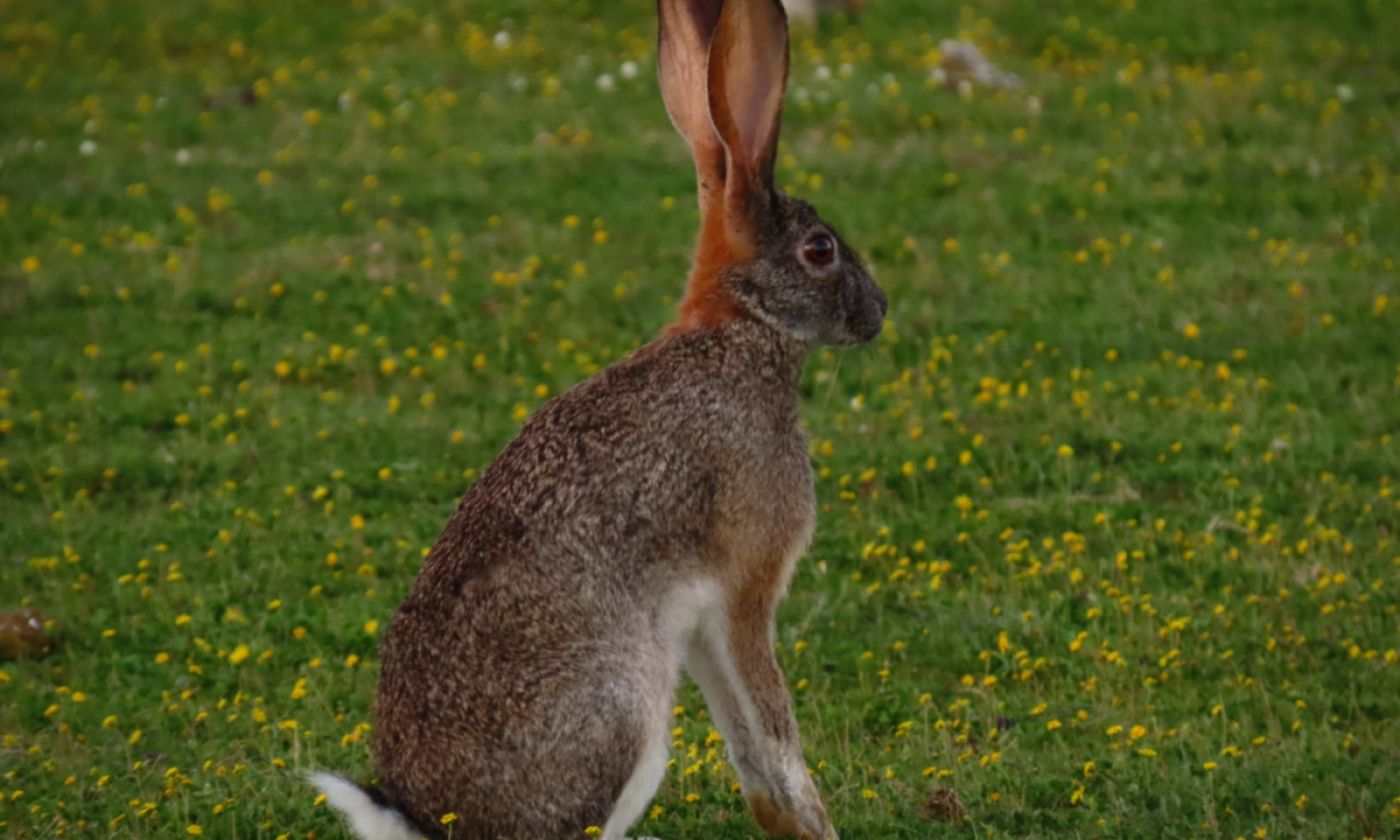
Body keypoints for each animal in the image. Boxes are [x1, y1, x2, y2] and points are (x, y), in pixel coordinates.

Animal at [311, 0, 886, 838]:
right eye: (820, 251)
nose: (878, 311)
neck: (740, 327)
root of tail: (427, 822)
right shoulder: (745, 586)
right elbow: (778, 741)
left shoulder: (704, 623)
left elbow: (750, 756)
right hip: (625, 711)